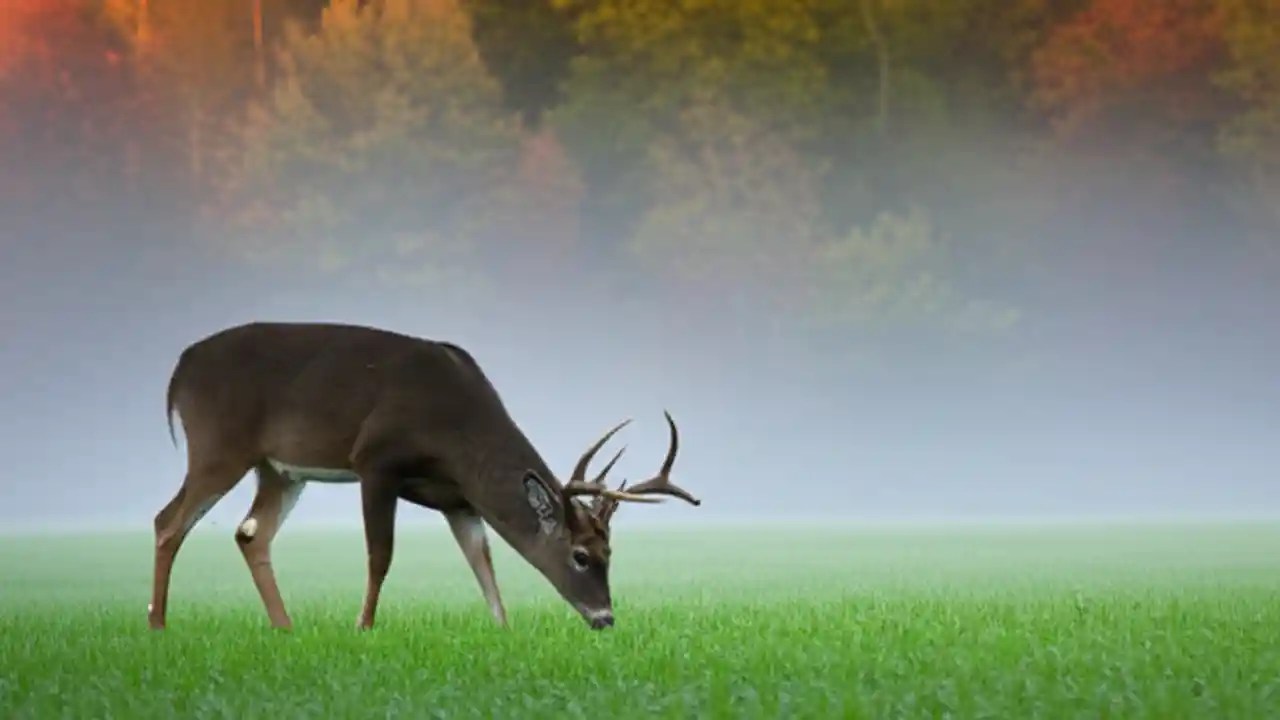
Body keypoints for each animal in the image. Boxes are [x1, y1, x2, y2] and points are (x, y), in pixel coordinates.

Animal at [149, 321, 701, 632]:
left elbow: (482, 561)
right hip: (219, 445)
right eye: (581, 556)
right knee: (167, 521)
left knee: (251, 534)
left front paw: (503, 629)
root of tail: (179, 369)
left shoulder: (460, 499)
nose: (605, 619)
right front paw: (364, 626)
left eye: (611, 553)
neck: (456, 432)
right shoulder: (376, 461)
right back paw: (157, 623)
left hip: (279, 470)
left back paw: (285, 627)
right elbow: (381, 554)